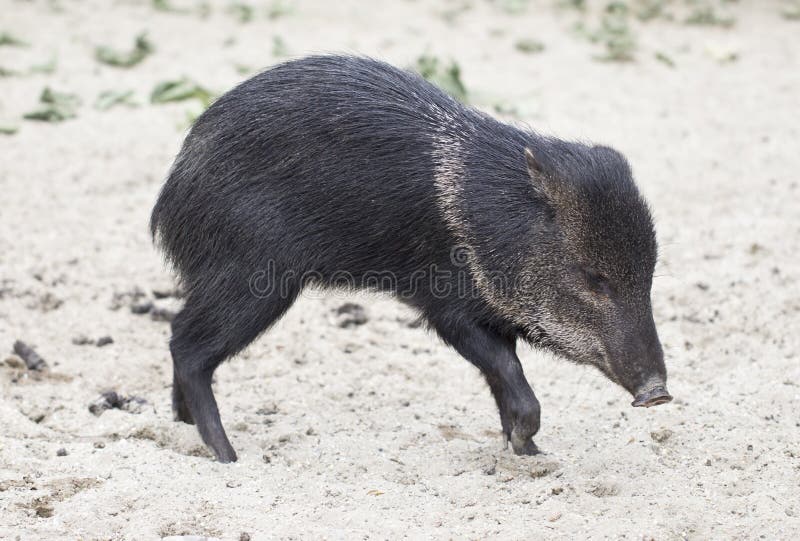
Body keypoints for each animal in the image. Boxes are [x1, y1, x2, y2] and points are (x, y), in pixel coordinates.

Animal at [150, 55, 672, 463]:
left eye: (650, 274)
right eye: (594, 279)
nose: (659, 394)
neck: (486, 220)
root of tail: (168, 206)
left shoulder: (493, 313)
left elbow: (504, 382)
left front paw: (527, 452)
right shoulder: (449, 308)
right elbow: (507, 373)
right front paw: (527, 441)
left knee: (181, 336)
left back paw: (182, 424)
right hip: (252, 278)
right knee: (186, 347)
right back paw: (225, 454)